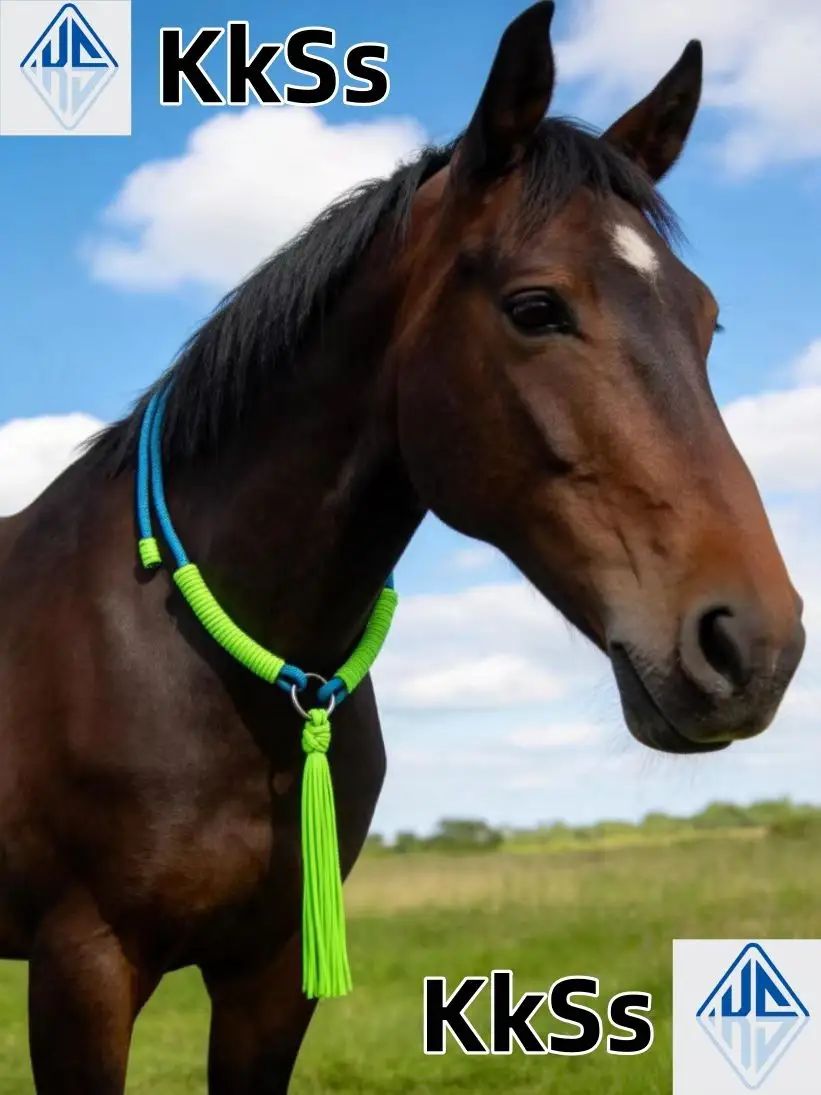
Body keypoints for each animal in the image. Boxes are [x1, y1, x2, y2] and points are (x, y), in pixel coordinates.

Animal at [0, 3, 805, 1091]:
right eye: (535, 307)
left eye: (707, 321)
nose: (753, 645)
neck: (202, 660)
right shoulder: (81, 970)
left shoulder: (269, 978)